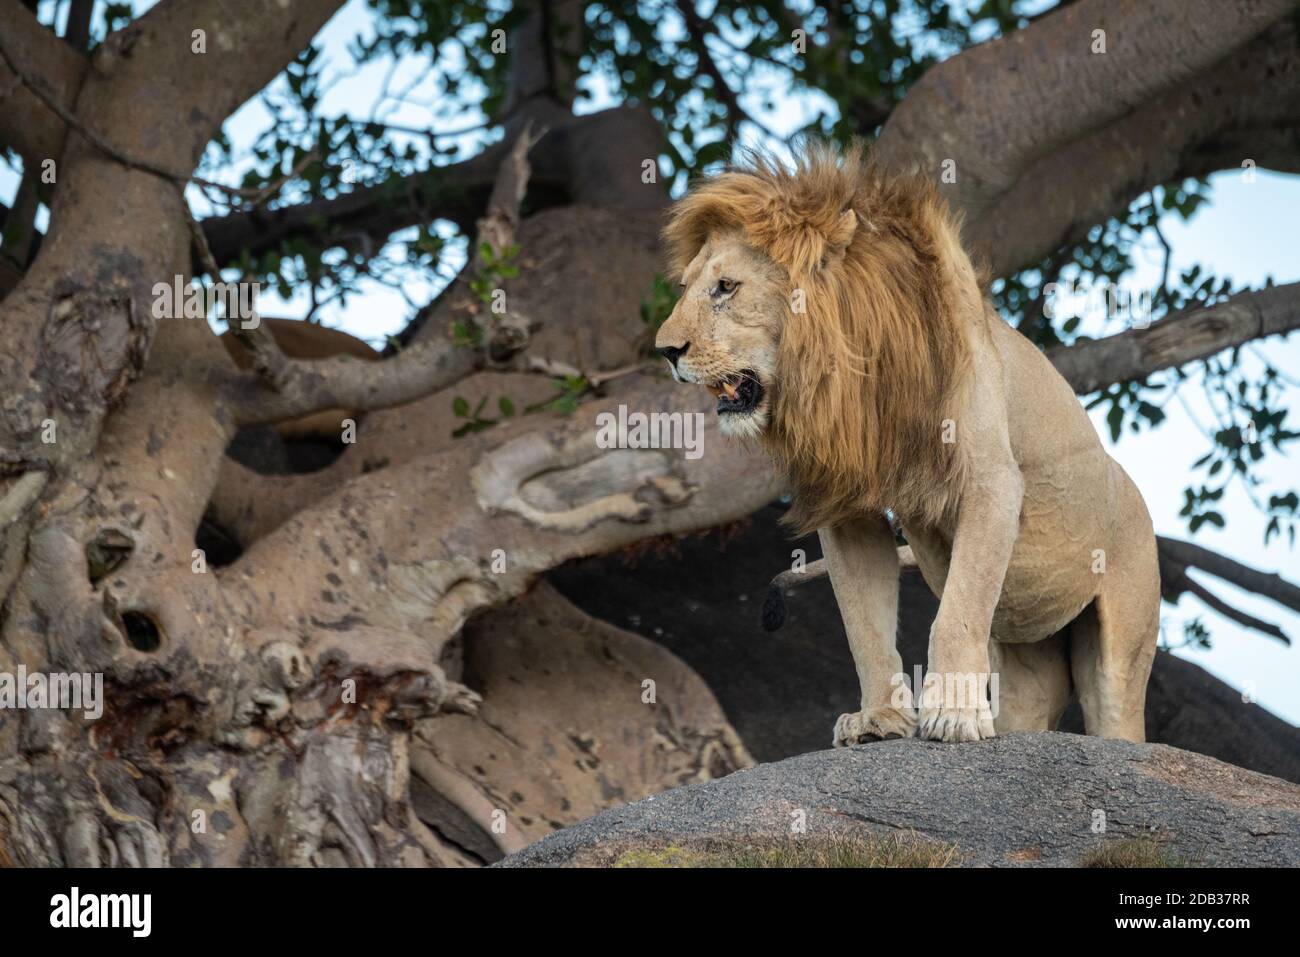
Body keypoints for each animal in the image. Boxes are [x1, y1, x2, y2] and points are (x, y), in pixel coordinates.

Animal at [654, 144, 1159, 745]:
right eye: (686, 287)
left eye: (726, 288)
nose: (665, 351)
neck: (854, 370)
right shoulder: (847, 506)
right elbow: (864, 625)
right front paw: (878, 719)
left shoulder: (990, 482)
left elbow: (957, 612)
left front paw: (955, 715)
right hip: (1029, 656)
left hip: (1121, 645)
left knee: (1116, 709)